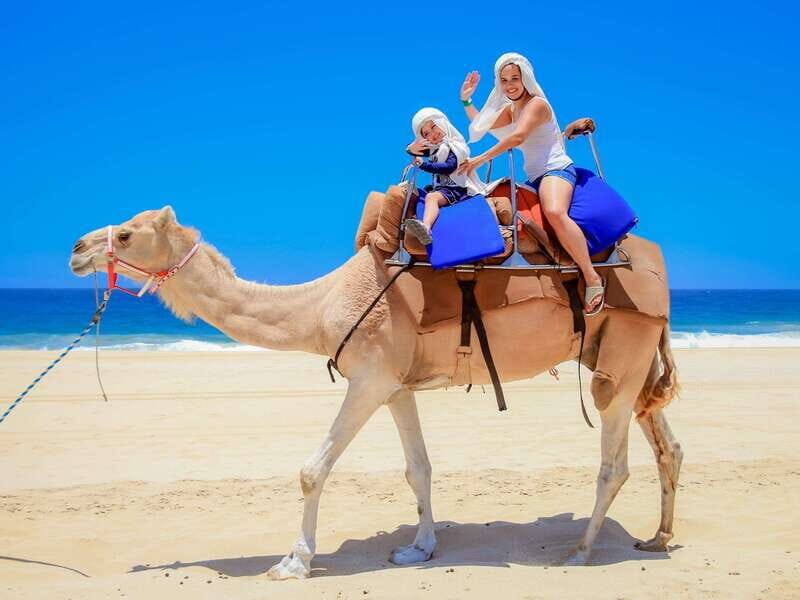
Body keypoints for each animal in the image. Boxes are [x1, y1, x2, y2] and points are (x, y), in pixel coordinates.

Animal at [69, 204, 682, 579]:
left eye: (127, 233)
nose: (76, 248)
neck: (320, 307)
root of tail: (658, 272)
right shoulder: (395, 385)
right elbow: (419, 468)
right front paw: (419, 548)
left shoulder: (369, 377)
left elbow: (312, 470)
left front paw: (293, 562)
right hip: (624, 353)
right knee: (666, 446)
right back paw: (657, 538)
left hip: (620, 355)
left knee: (614, 462)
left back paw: (579, 552)